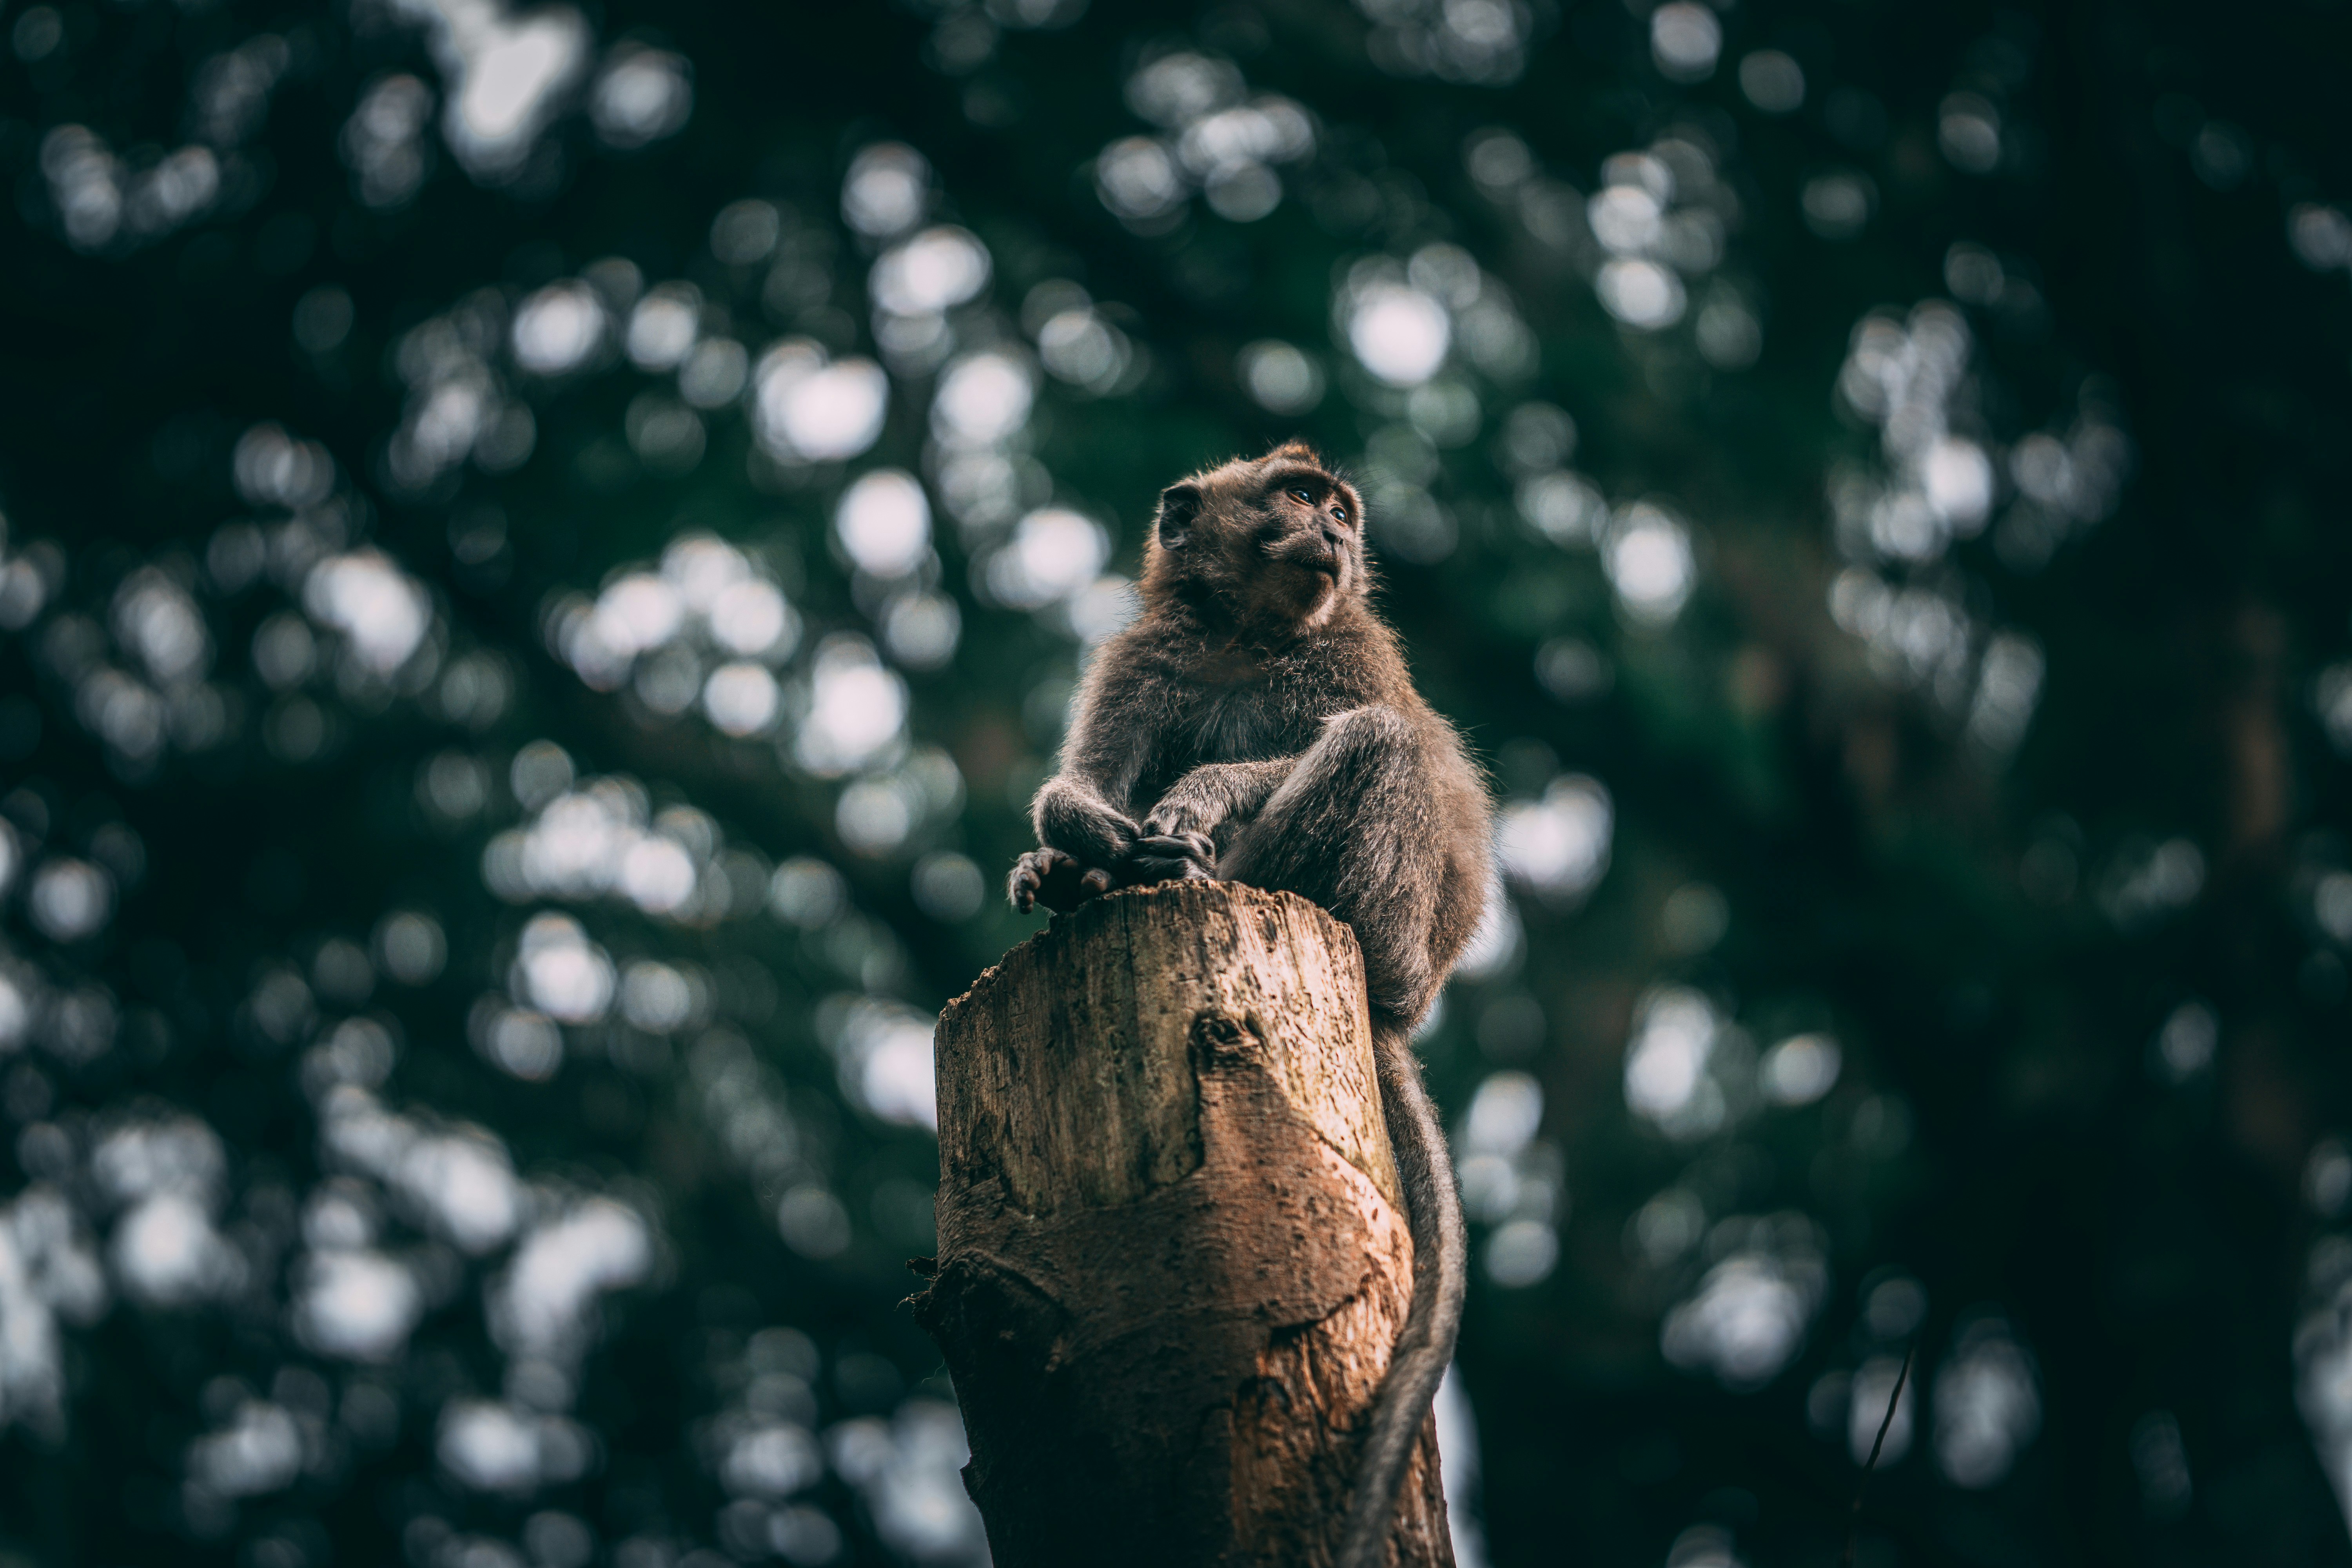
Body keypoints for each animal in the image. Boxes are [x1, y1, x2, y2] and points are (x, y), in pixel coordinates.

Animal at [1008, 442, 1492, 1566]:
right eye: (1299, 496)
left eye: (1340, 511)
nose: (1335, 535)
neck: (1247, 634)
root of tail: (1402, 1001)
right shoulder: (1146, 658)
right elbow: (1089, 778)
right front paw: (1071, 834)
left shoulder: (1350, 648)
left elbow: (1366, 728)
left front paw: (1196, 801)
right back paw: (1087, 880)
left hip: (1383, 916)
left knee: (1377, 742)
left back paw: (1180, 869)